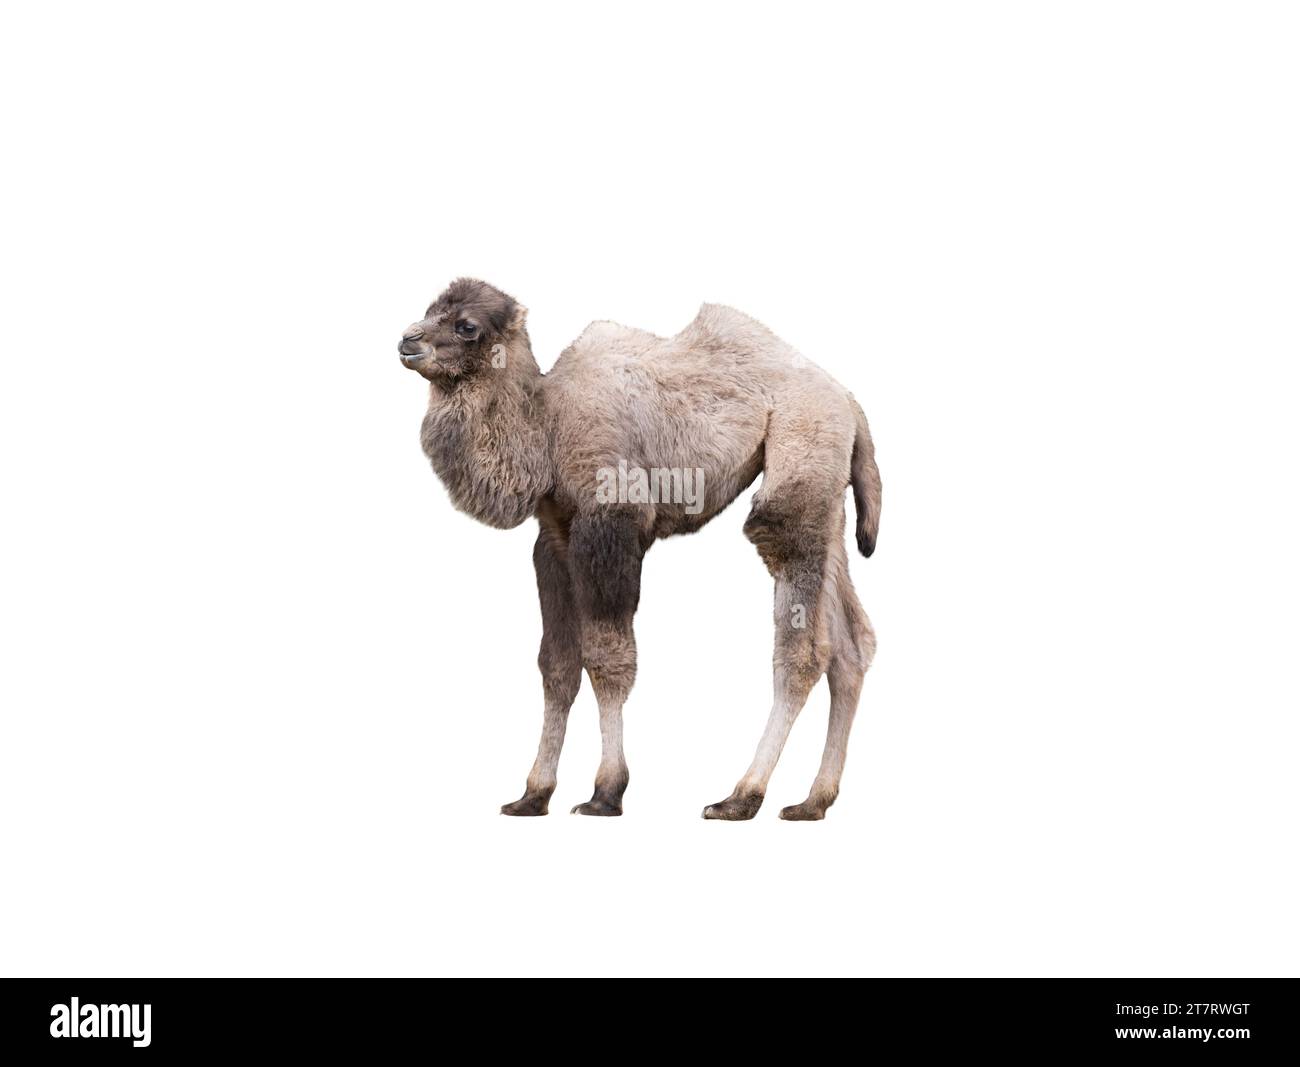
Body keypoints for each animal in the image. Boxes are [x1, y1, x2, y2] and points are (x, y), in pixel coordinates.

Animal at [399, 279, 881, 820]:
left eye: (467, 326)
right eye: (429, 309)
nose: (408, 341)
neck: (547, 423)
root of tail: (849, 401)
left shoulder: (611, 523)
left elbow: (608, 659)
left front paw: (606, 791)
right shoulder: (555, 540)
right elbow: (556, 665)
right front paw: (533, 794)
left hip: (799, 457)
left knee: (800, 643)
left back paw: (741, 797)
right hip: (828, 493)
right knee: (851, 643)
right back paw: (812, 802)